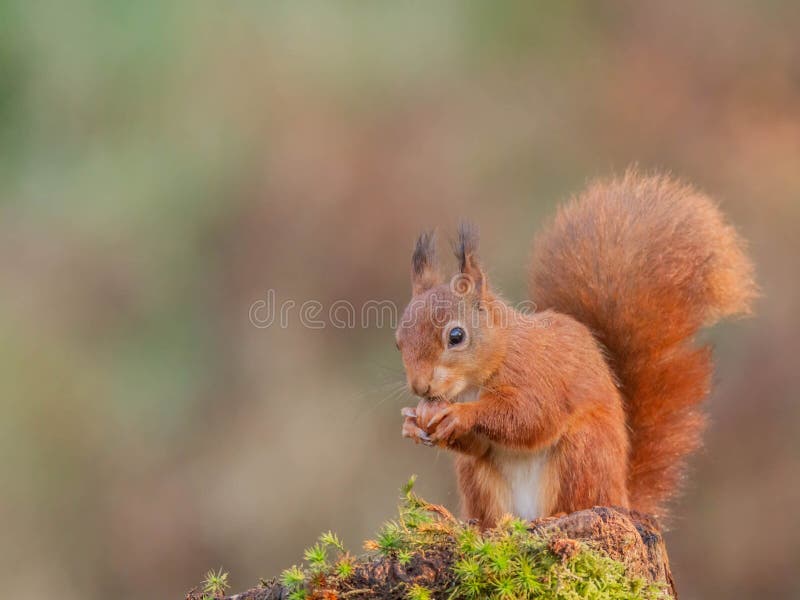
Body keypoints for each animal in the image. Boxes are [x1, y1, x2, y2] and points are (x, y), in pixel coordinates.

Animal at [396, 170, 756, 527]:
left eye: (456, 336)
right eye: (398, 341)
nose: (420, 387)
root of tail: (622, 499)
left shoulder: (538, 374)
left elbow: (530, 415)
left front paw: (459, 414)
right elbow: (478, 445)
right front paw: (413, 422)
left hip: (582, 453)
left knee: (575, 494)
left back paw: (557, 515)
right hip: (479, 478)